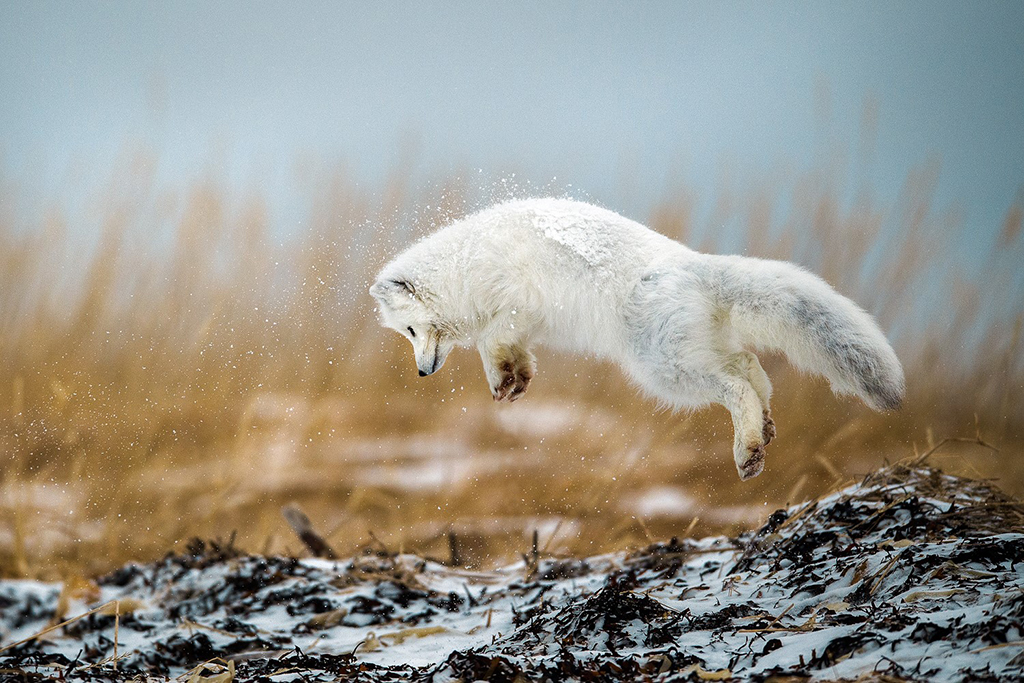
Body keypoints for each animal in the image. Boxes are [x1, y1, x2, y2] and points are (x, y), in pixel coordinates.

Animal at [369, 198, 904, 480]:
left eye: (411, 330)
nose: (422, 372)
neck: (464, 267)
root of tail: (695, 265)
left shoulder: (518, 300)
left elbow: (490, 338)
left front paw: (503, 377)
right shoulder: (525, 322)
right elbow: (508, 349)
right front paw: (514, 380)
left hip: (663, 369)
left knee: (735, 386)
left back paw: (747, 451)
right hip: (689, 353)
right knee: (751, 369)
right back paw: (766, 429)